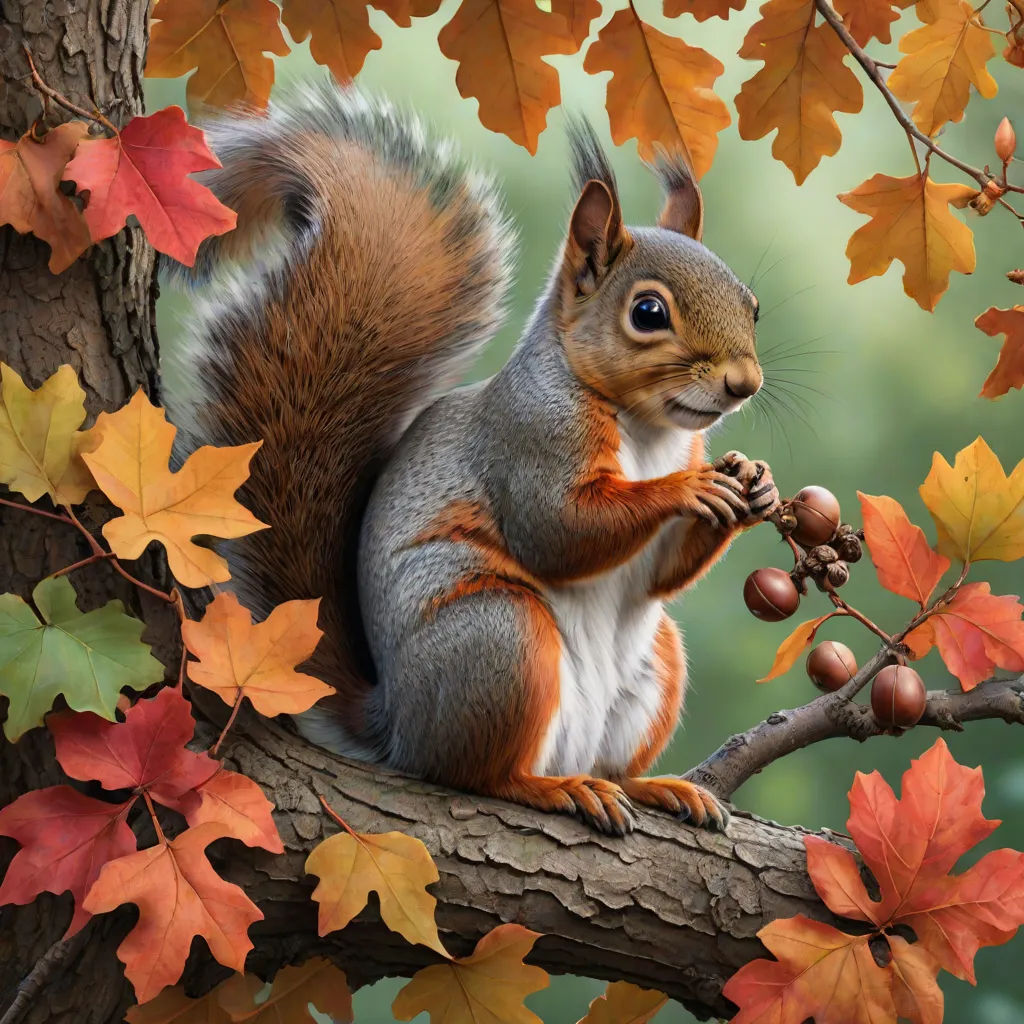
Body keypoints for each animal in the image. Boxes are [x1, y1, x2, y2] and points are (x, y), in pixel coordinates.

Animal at [169, 81, 779, 836]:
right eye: (647, 312)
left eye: (753, 305)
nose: (743, 383)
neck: (648, 431)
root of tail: (397, 725)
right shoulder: (527, 437)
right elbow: (557, 530)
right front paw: (689, 486)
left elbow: (662, 572)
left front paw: (756, 485)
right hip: (500, 639)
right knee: (480, 774)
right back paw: (554, 788)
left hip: (652, 668)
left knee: (611, 762)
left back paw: (652, 786)